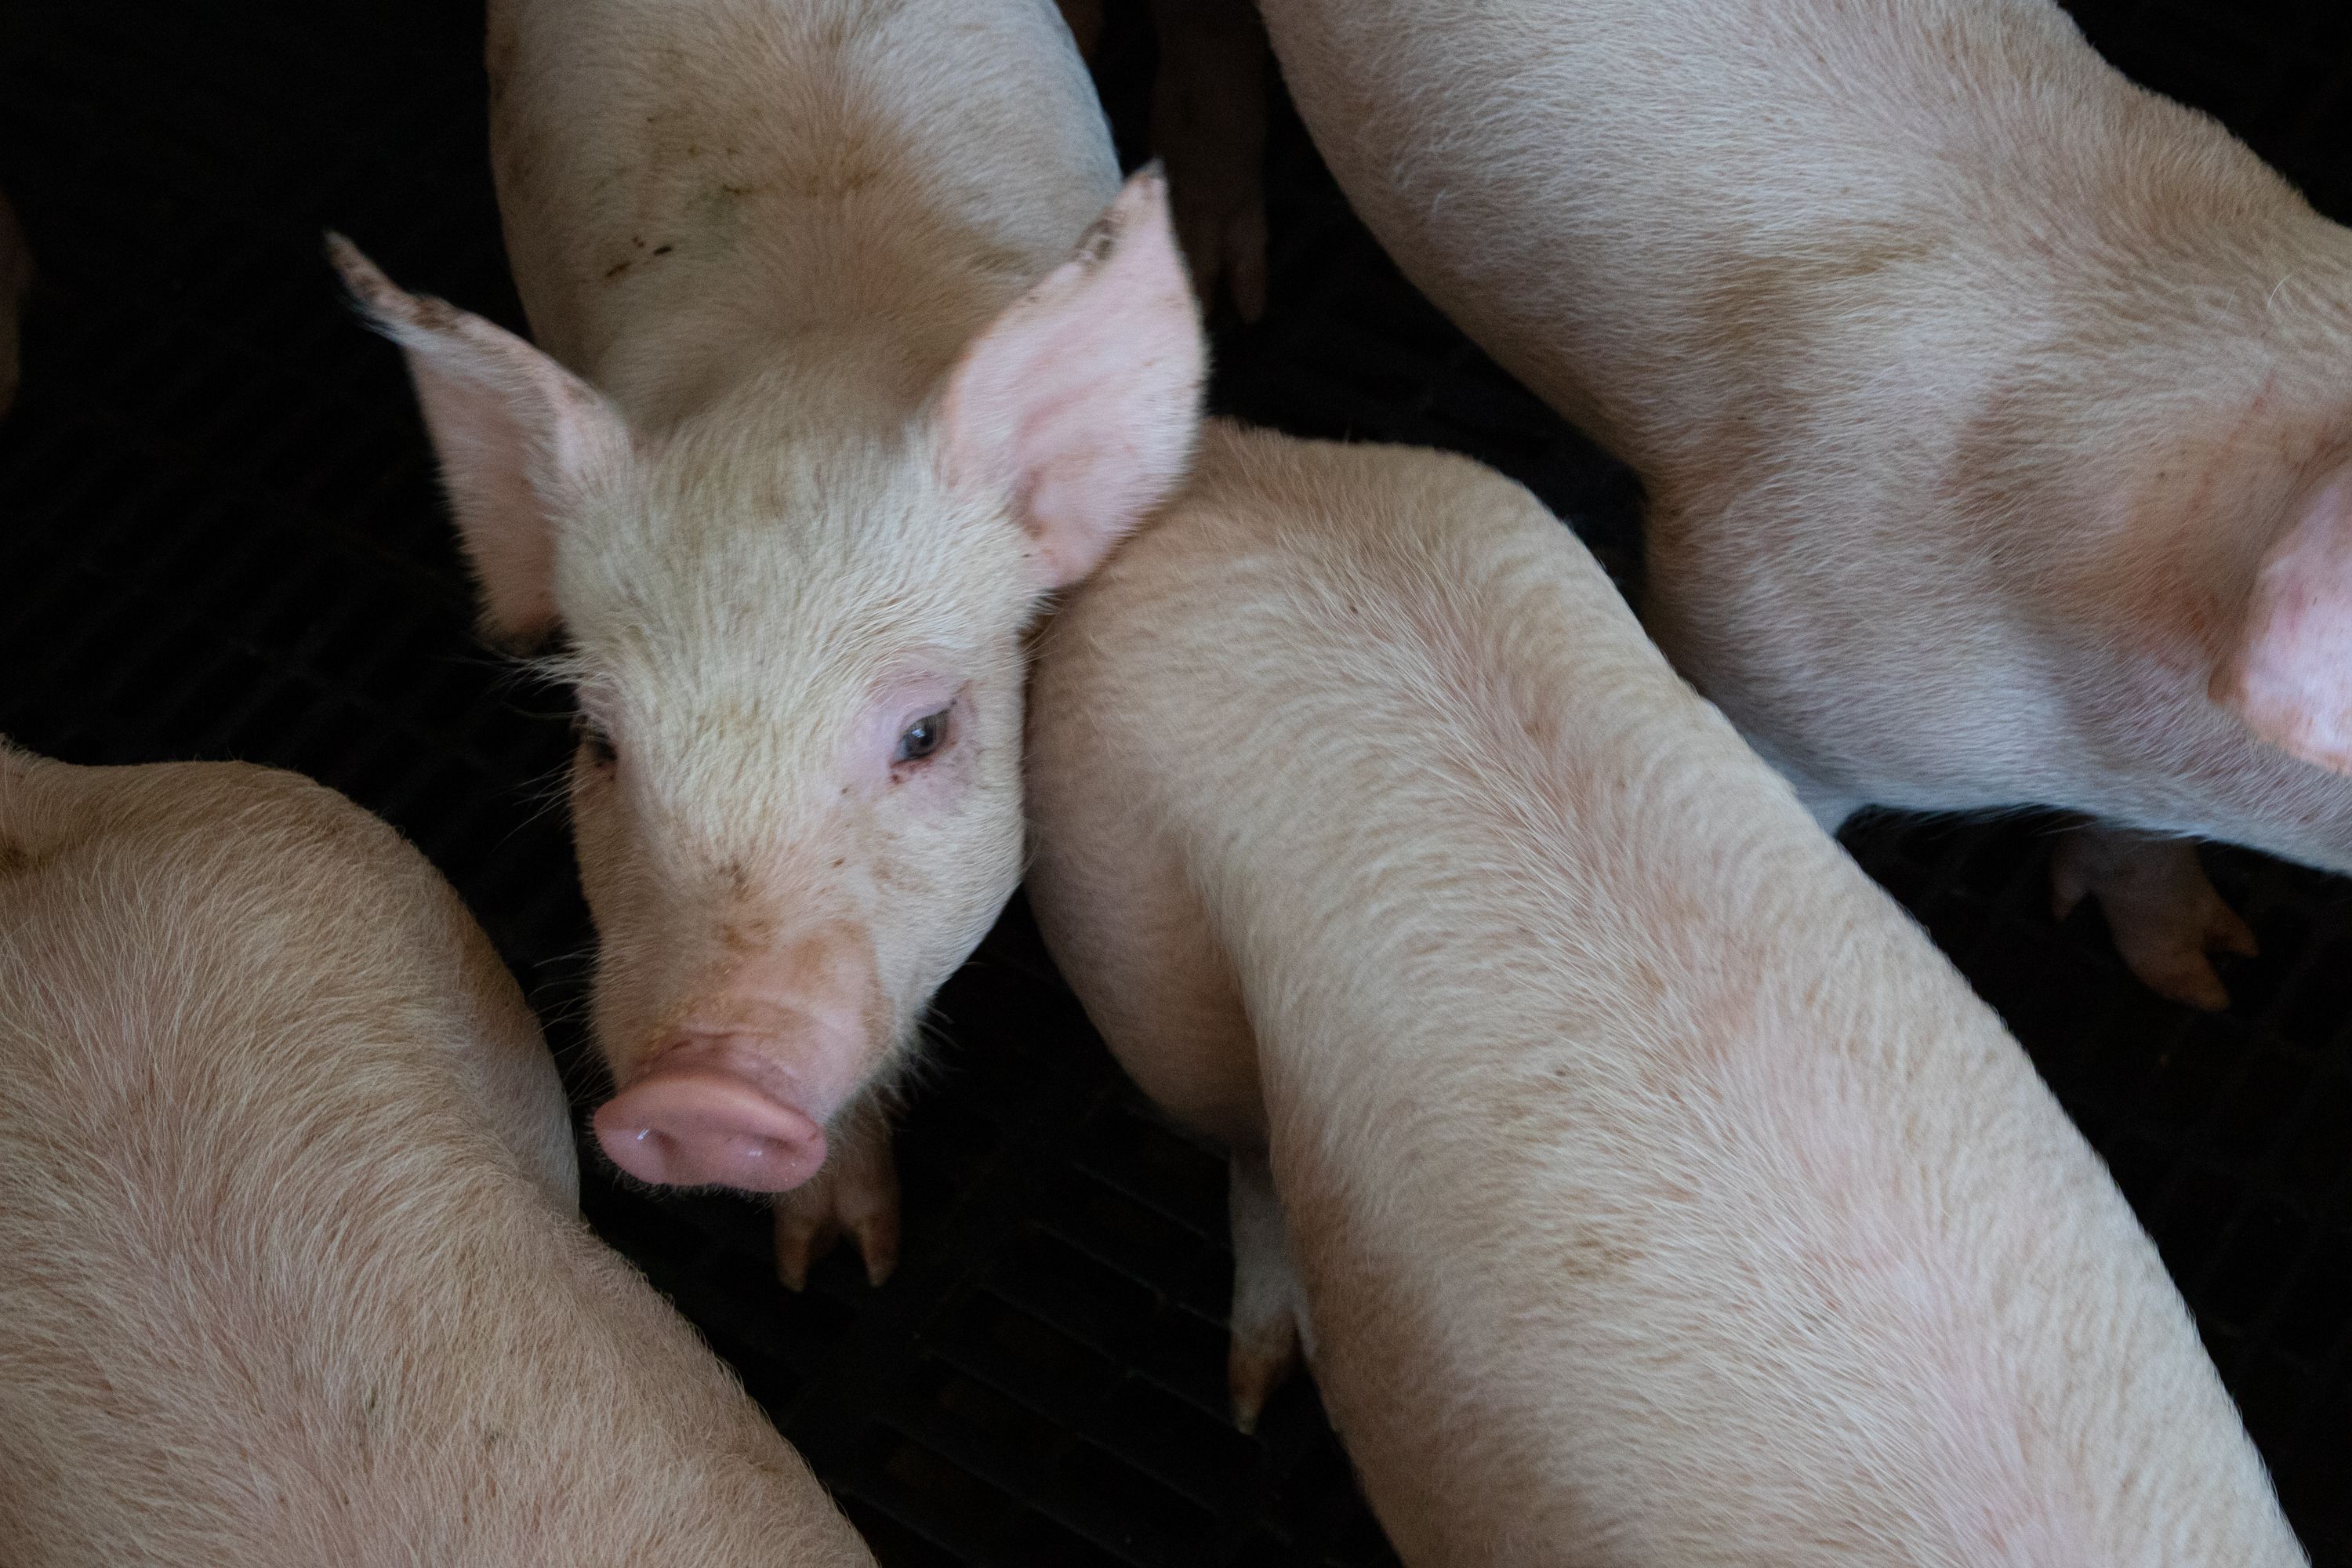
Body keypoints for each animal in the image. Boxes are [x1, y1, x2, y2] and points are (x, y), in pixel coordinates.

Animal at [331, 0, 1205, 1287]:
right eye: (600, 743)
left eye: (925, 733)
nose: (699, 1093)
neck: (811, 358)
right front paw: (826, 1268)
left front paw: (855, 1269)